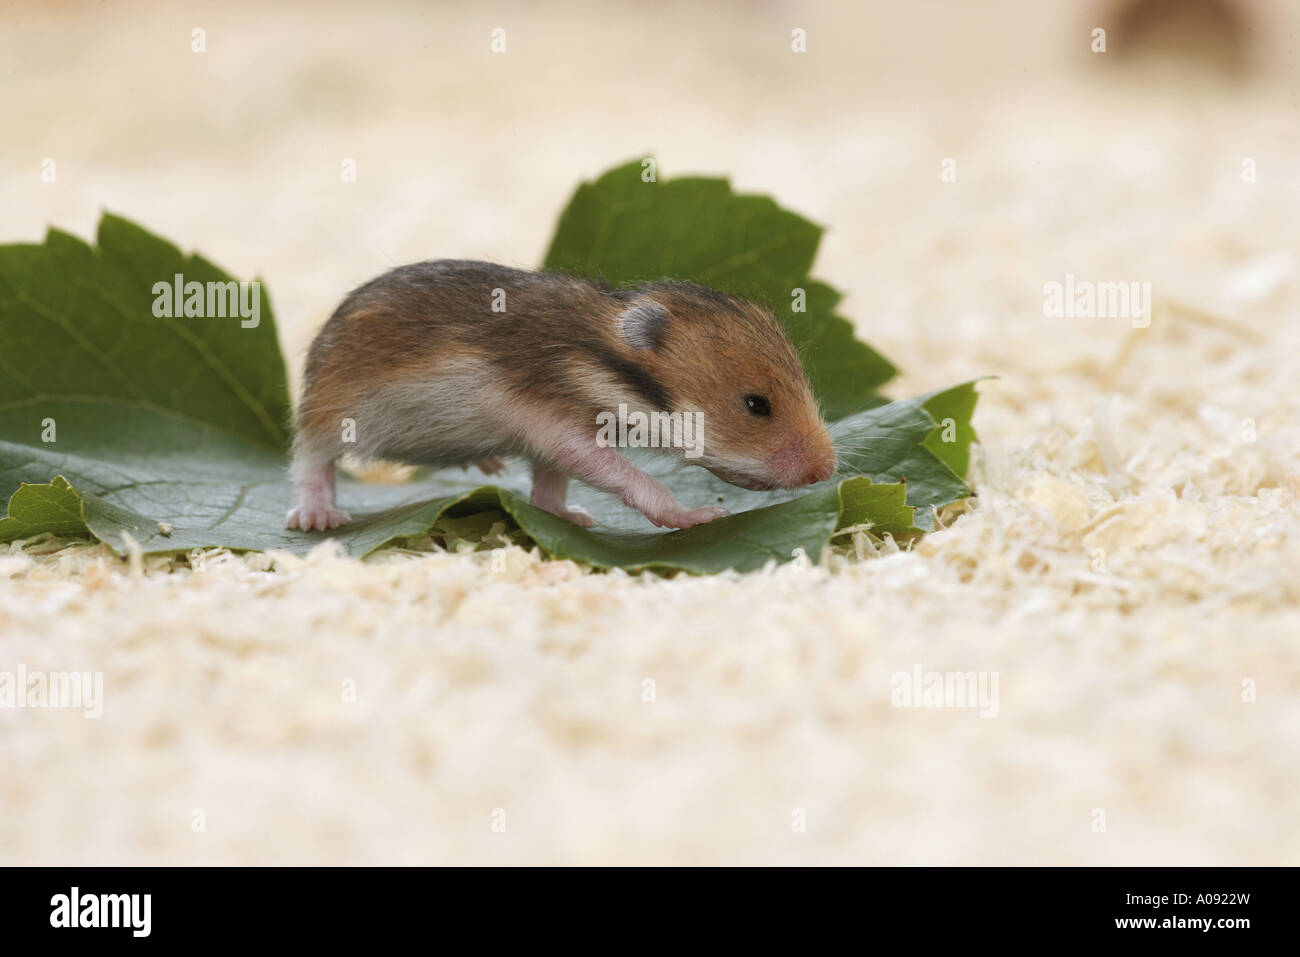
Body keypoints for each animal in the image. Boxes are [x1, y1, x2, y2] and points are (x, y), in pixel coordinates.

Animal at [285, 261, 837, 532]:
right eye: (756, 404)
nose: (827, 471)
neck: (598, 359)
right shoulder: (555, 426)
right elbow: (628, 477)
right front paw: (697, 517)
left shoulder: (551, 437)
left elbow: (554, 485)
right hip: (329, 414)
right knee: (312, 462)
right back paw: (316, 519)